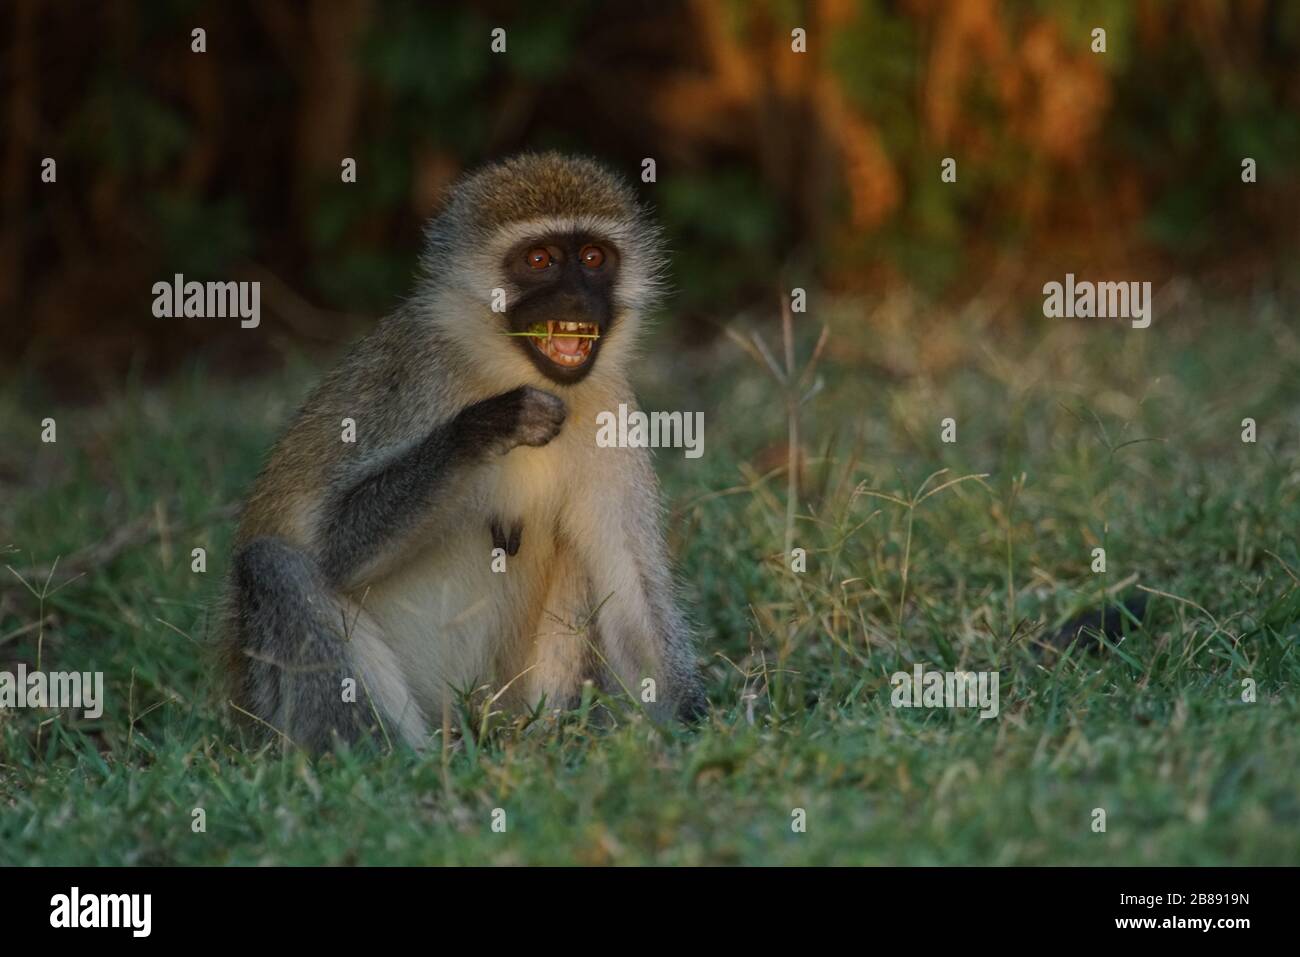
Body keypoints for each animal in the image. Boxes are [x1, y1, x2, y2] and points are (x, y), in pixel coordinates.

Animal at [219, 152, 706, 752]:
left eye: (594, 258)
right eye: (539, 259)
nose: (576, 300)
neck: (504, 365)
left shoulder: (610, 405)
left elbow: (632, 592)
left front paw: (697, 728)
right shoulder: (416, 378)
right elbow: (333, 547)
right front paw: (488, 424)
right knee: (273, 566)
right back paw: (403, 761)